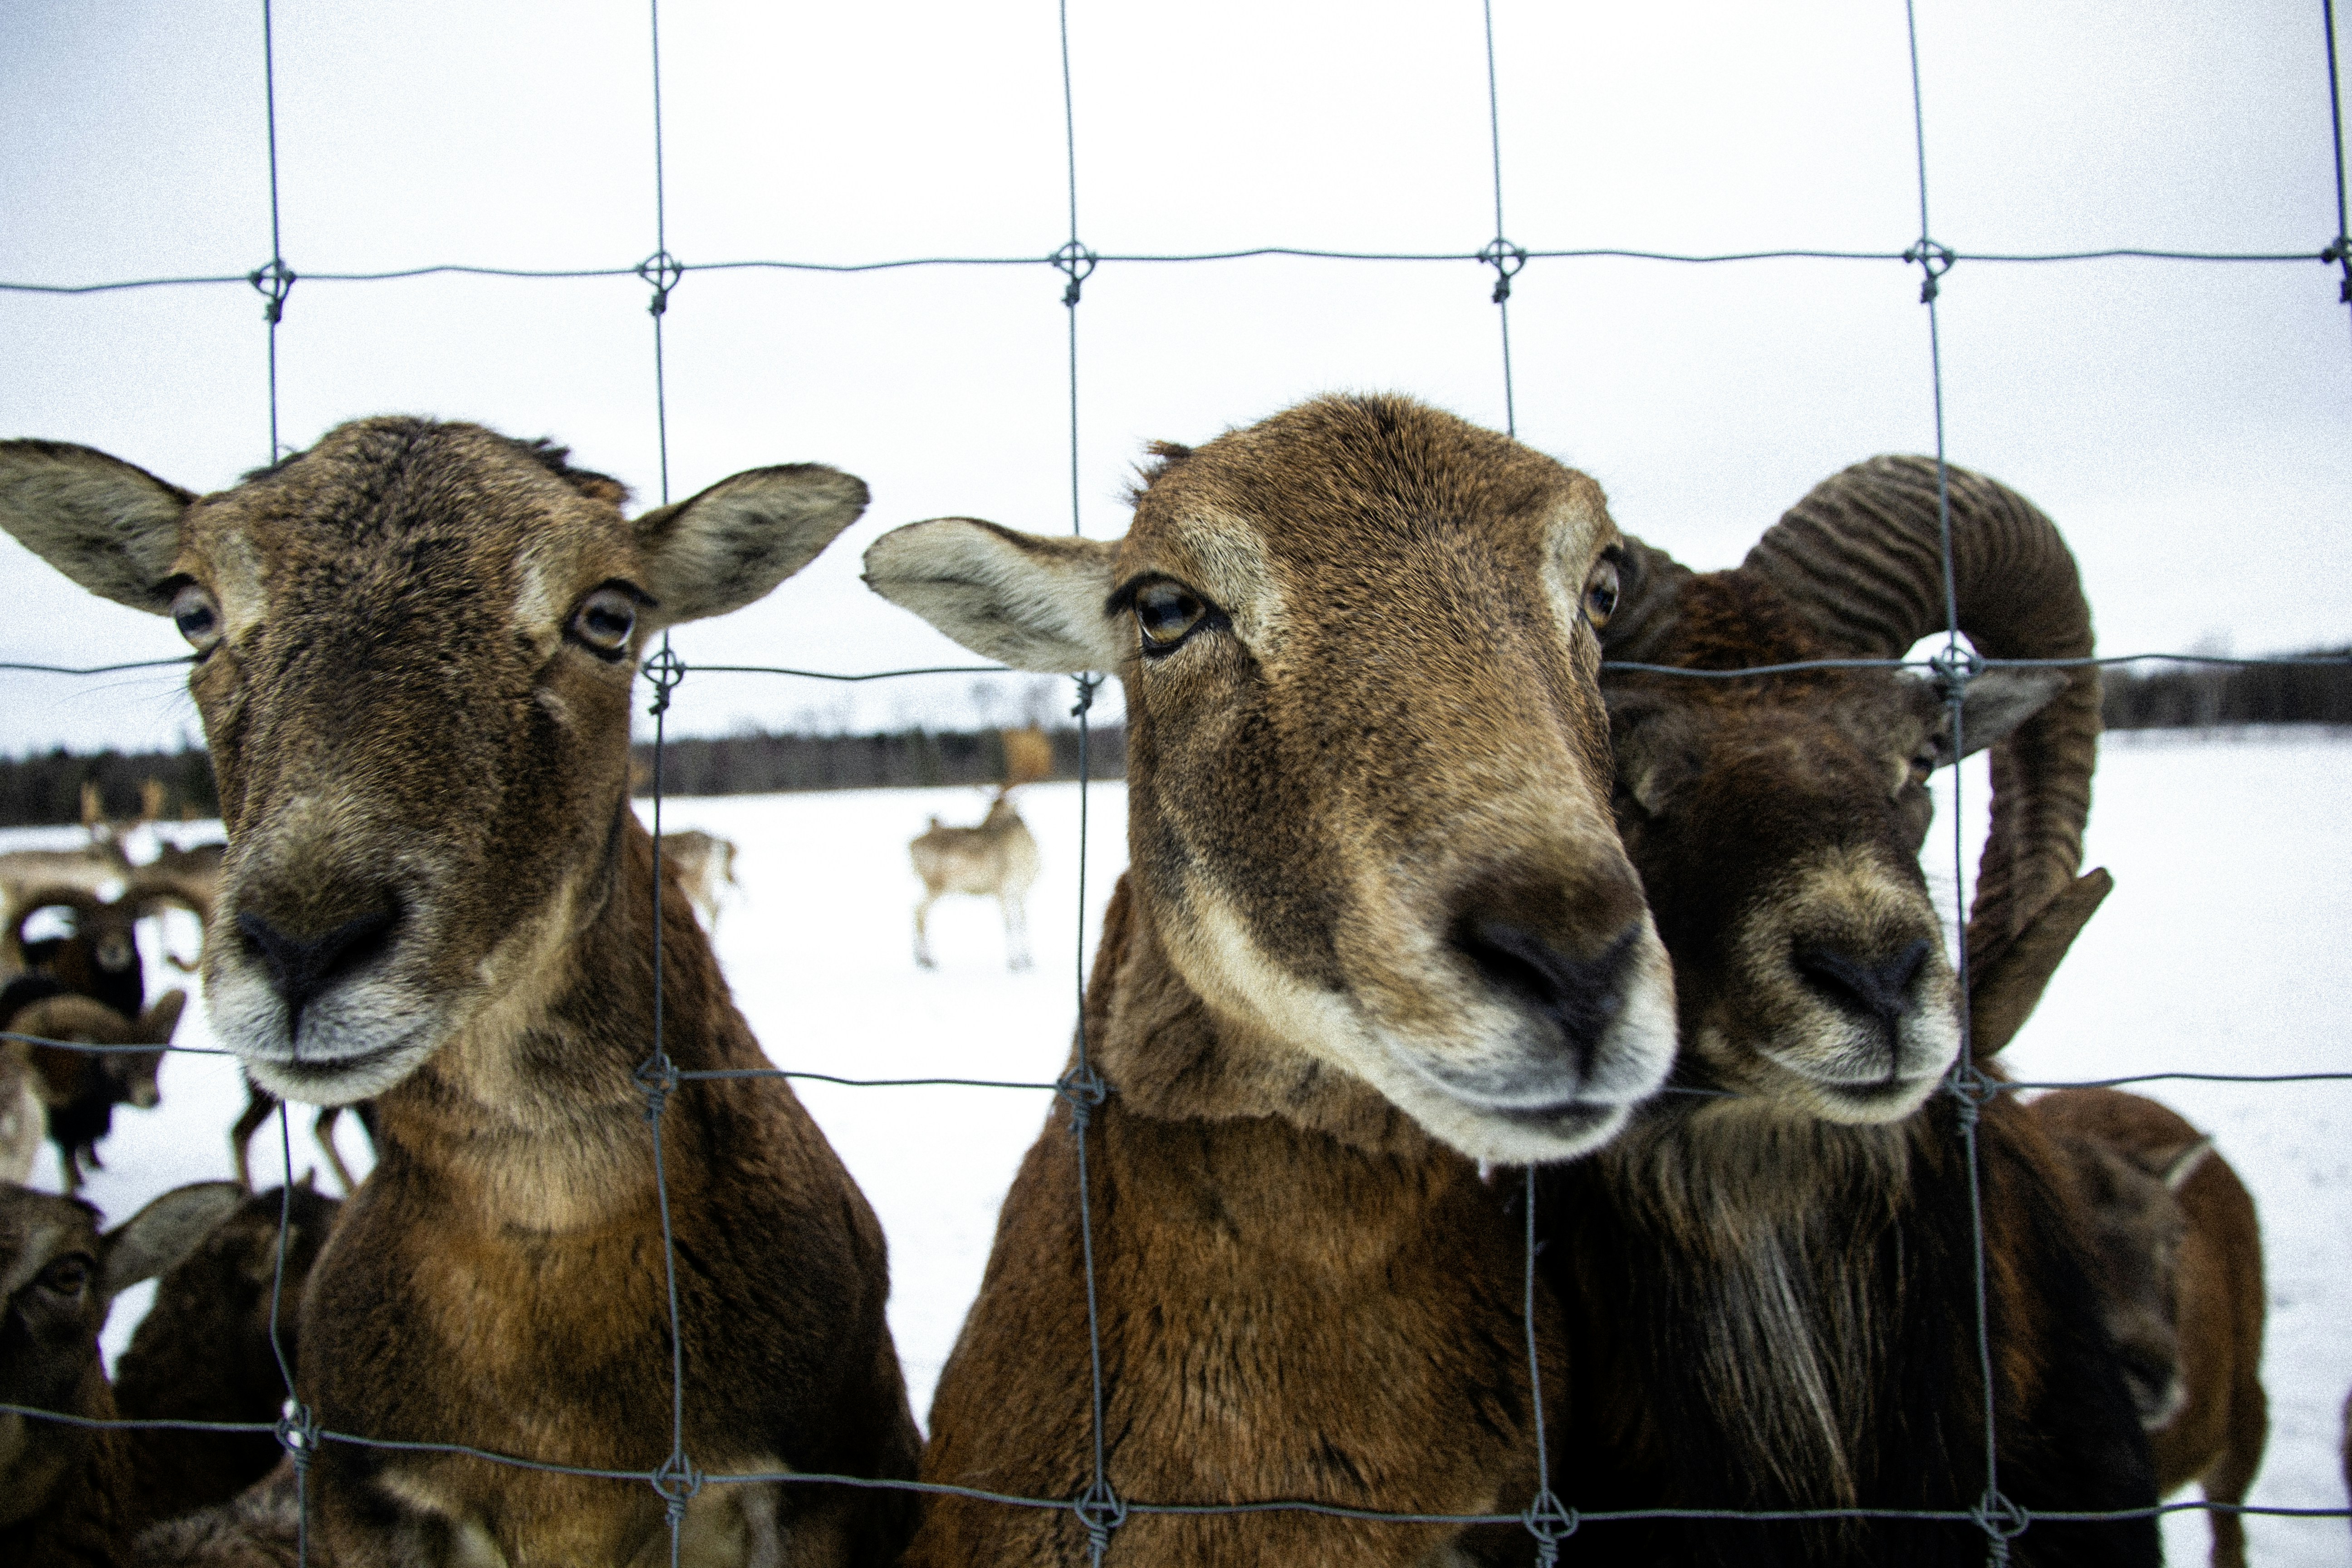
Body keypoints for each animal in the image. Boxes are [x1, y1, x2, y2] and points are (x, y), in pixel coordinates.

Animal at [908, 788, 1041, 970]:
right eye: (990, 811)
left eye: (999, 813)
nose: (981, 829)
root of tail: (910, 846)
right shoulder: (999, 886)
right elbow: (1009, 924)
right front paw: (1014, 964)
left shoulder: (1021, 891)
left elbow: (1022, 922)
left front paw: (1028, 961)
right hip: (935, 883)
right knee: (919, 911)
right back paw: (927, 961)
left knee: (915, 909)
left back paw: (921, 959)